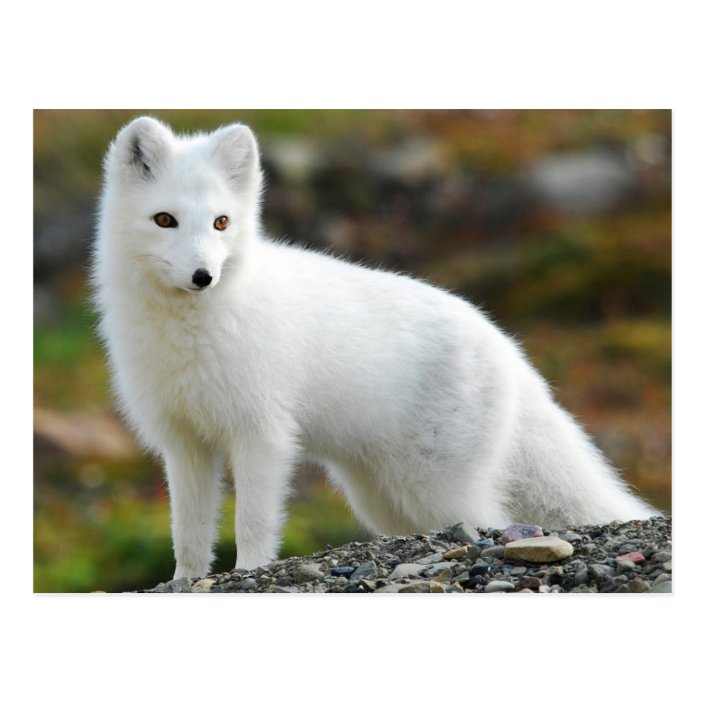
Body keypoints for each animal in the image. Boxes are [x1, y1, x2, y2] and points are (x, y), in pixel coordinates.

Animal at [93, 116, 658, 579]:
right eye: (164, 219)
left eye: (221, 222)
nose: (203, 276)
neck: (187, 333)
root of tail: (505, 345)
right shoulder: (184, 441)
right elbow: (188, 534)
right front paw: (184, 582)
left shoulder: (262, 434)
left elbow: (253, 523)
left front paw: (249, 572)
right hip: (380, 496)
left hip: (437, 488)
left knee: (491, 522)